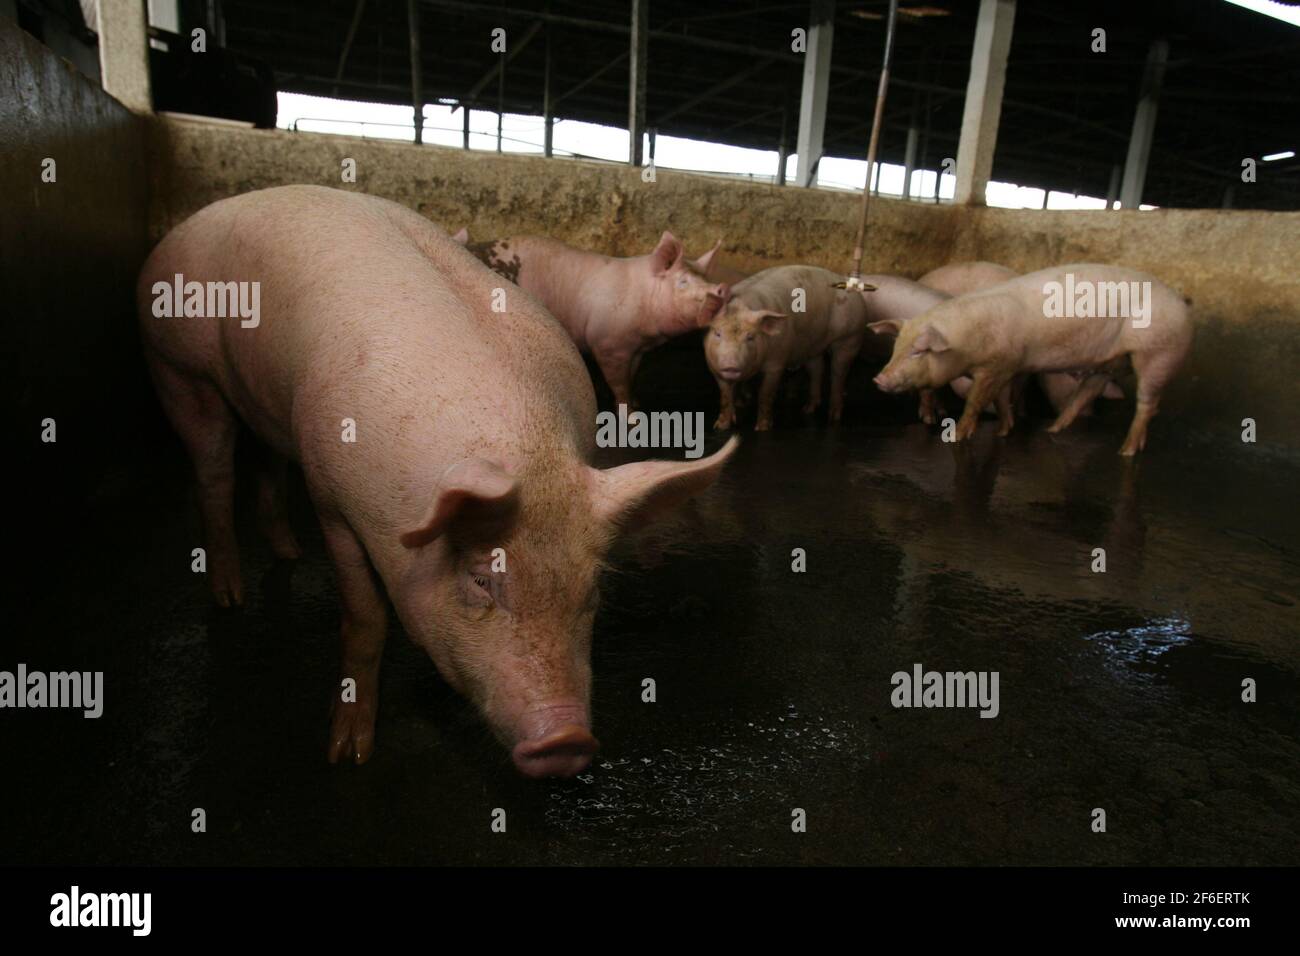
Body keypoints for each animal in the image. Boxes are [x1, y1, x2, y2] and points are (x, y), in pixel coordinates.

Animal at [453, 229, 729, 408]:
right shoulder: (608, 344)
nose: (720, 288)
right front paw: (631, 415)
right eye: (683, 282)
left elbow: (632, 376)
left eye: (705, 278)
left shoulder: (636, 349)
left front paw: (638, 403)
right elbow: (618, 382)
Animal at [706, 265, 875, 431]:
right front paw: (720, 426)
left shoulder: (777, 362)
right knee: (817, 369)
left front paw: (762, 428)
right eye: (717, 333)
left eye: (750, 337)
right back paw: (808, 409)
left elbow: (765, 394)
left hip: (850, 338)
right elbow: (725, 396)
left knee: (838, 374)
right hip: (812, 345)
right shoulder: (714, 368)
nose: (730, 364)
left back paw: (833, 418)